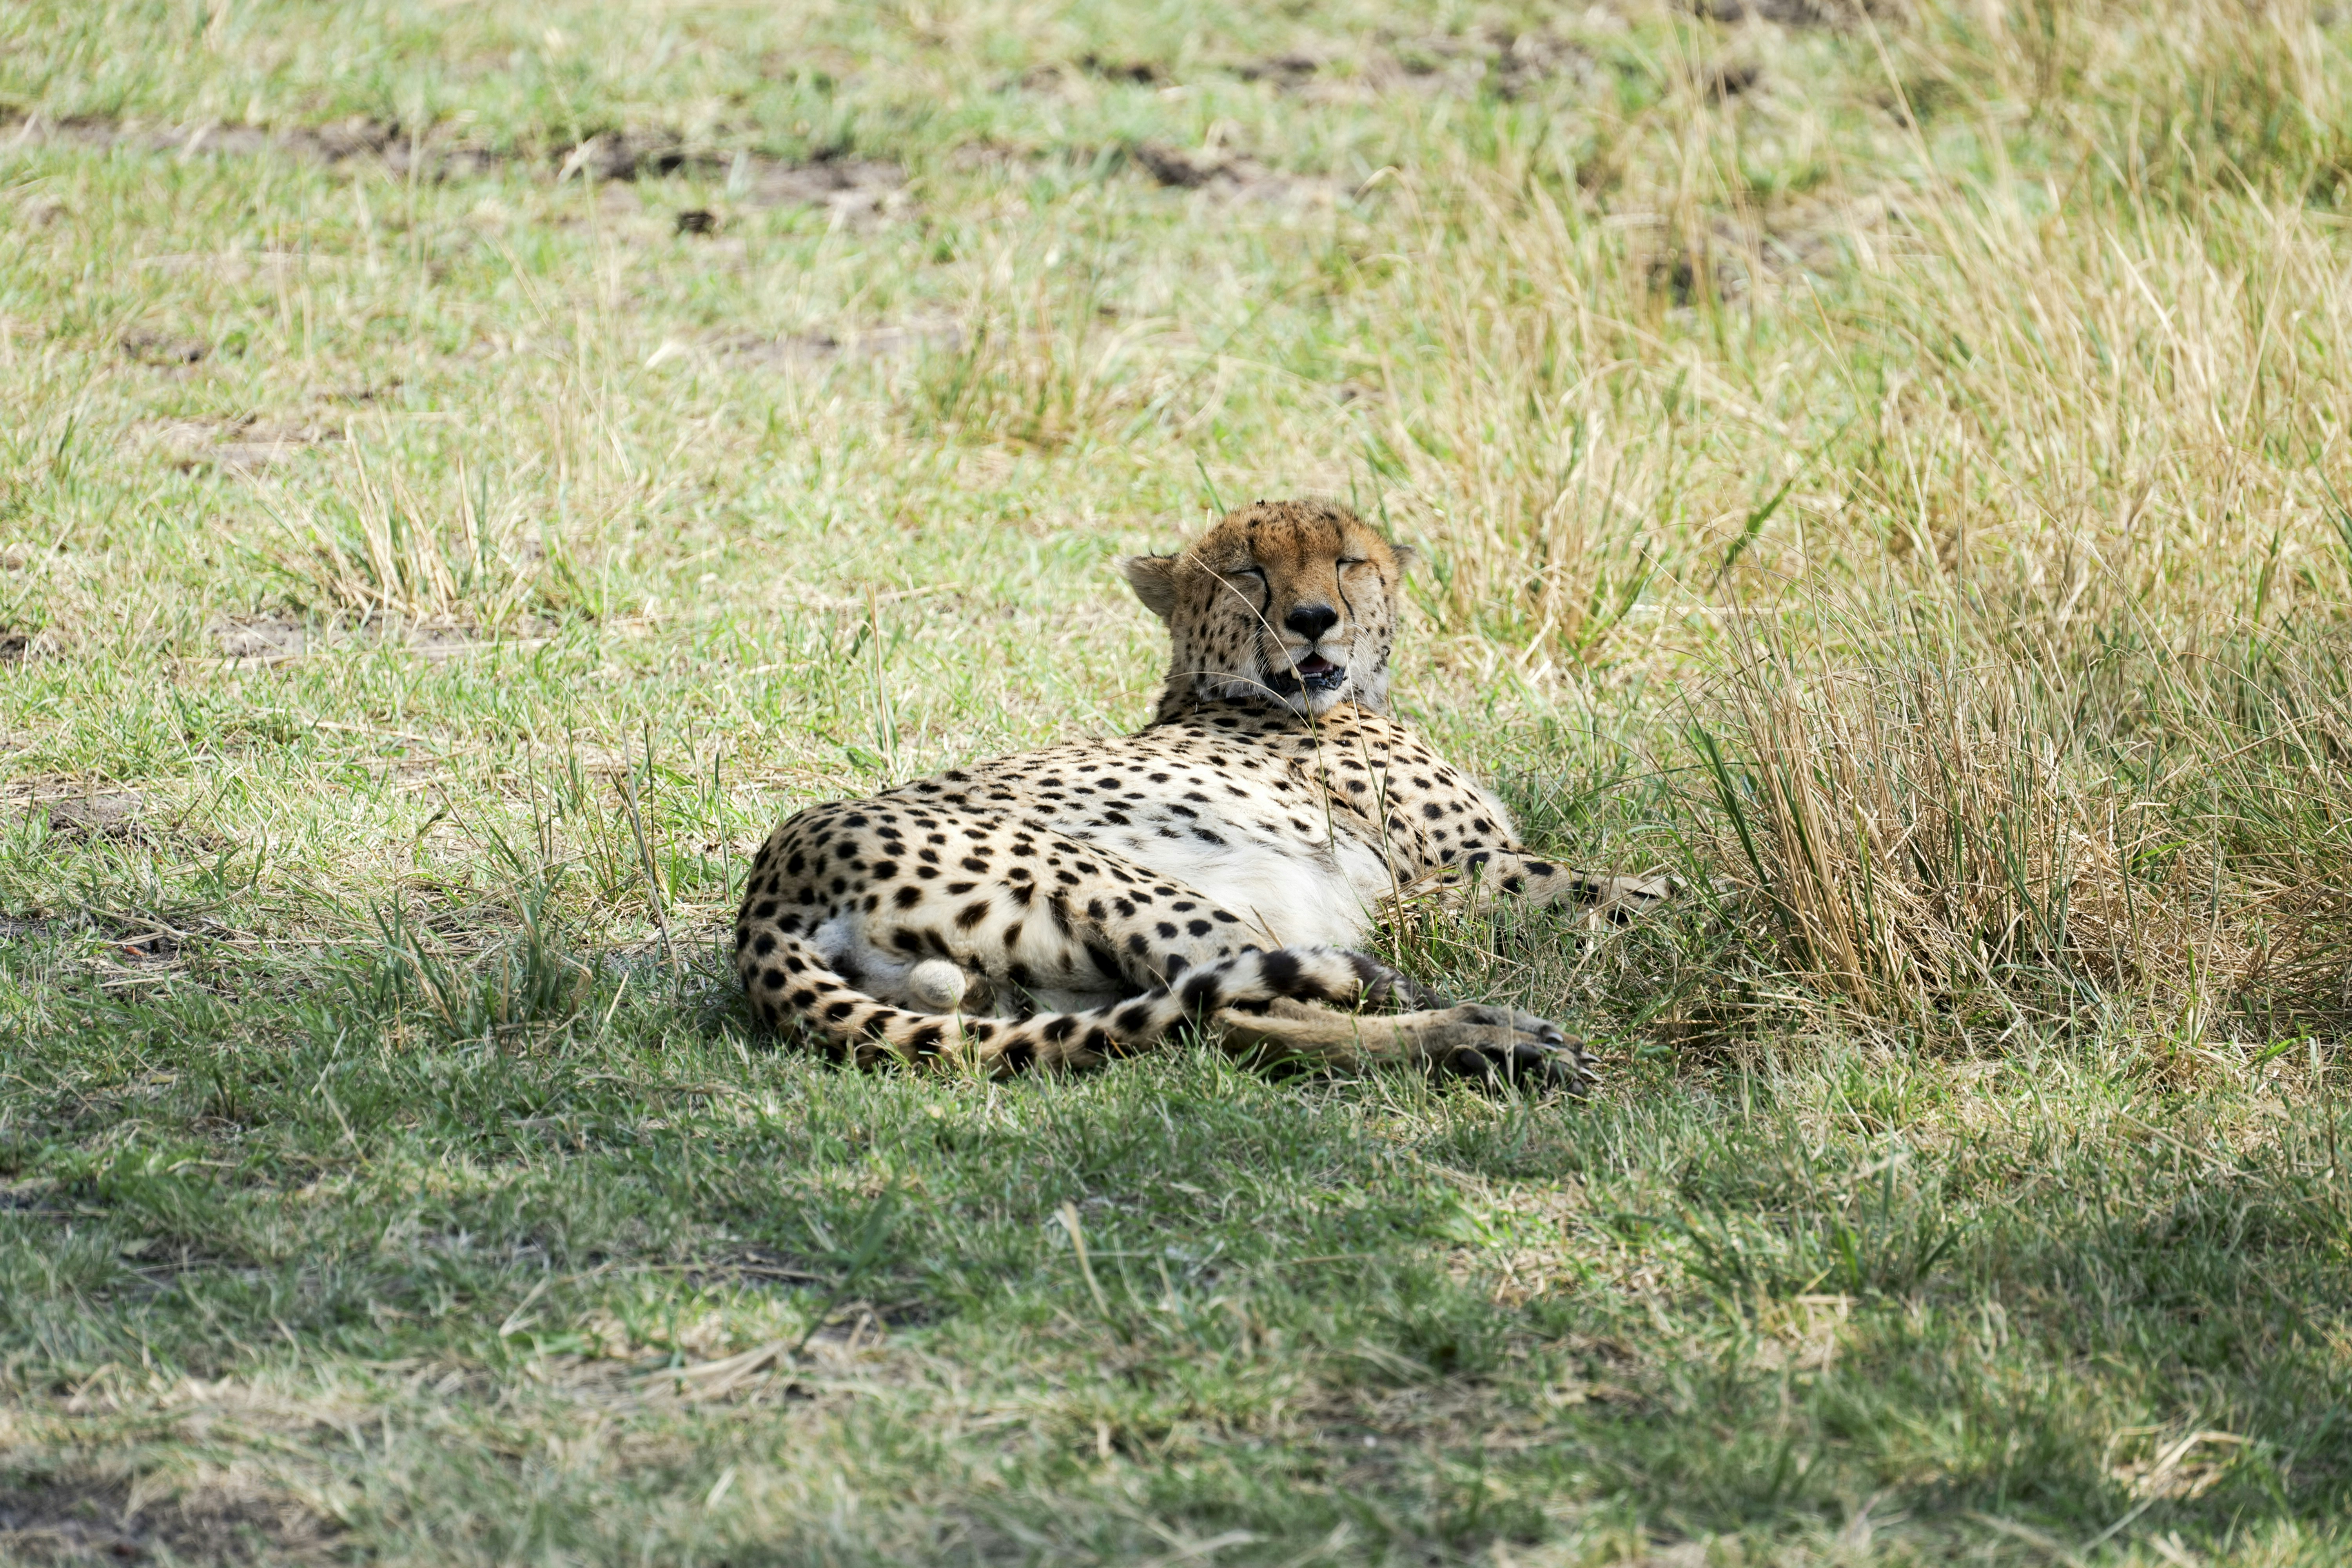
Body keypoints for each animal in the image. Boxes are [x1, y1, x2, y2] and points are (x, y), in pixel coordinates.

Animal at [733, 498, 1670, 1089]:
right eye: (1250, 573)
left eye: (1347, 562)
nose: (1313, 620)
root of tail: (768, 887)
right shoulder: (1439, 879)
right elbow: (1611, 887)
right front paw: (1661, 900)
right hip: (1145, 891)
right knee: (1258, 1005)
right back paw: (1484, 1037)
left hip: (1044, 988)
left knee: (1213, 1022)